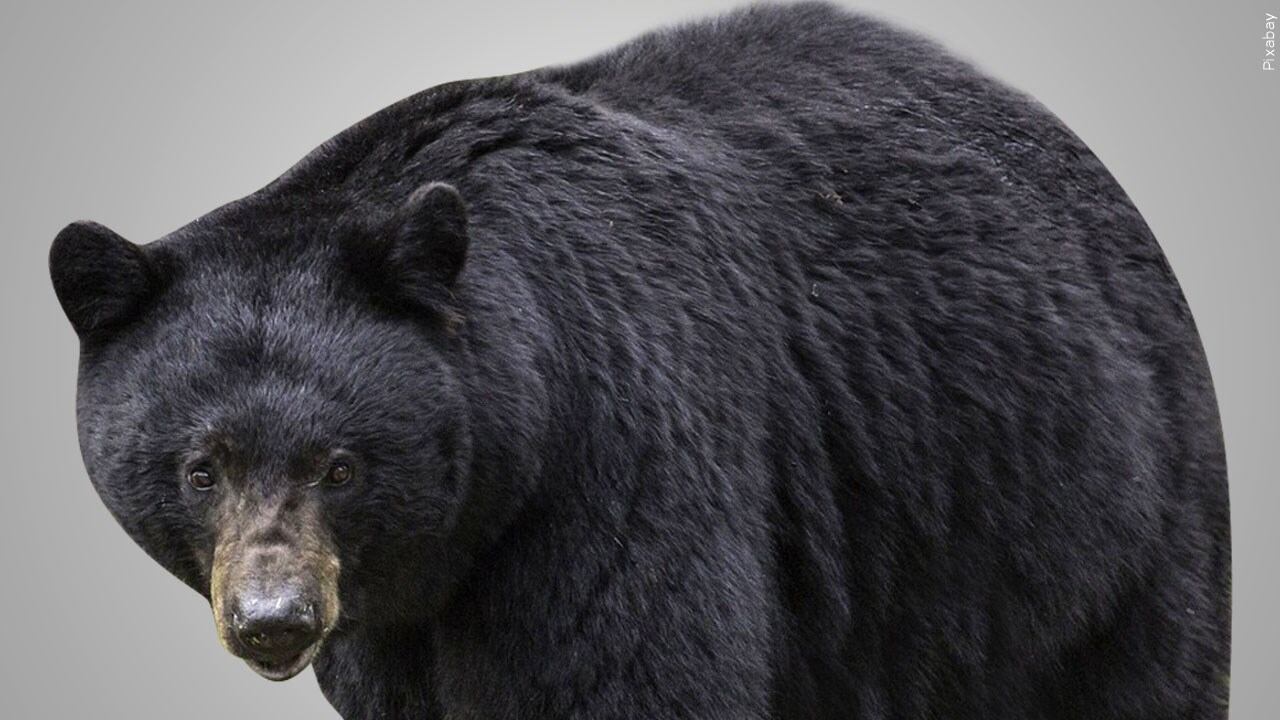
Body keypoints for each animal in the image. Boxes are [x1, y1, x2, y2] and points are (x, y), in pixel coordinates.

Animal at [48, 3, 1230, 719]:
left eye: (341, 464)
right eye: (201, 467)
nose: (273, 621)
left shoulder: (617, 455)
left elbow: (626, 670)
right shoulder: (386, 610)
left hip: (1102, 514)